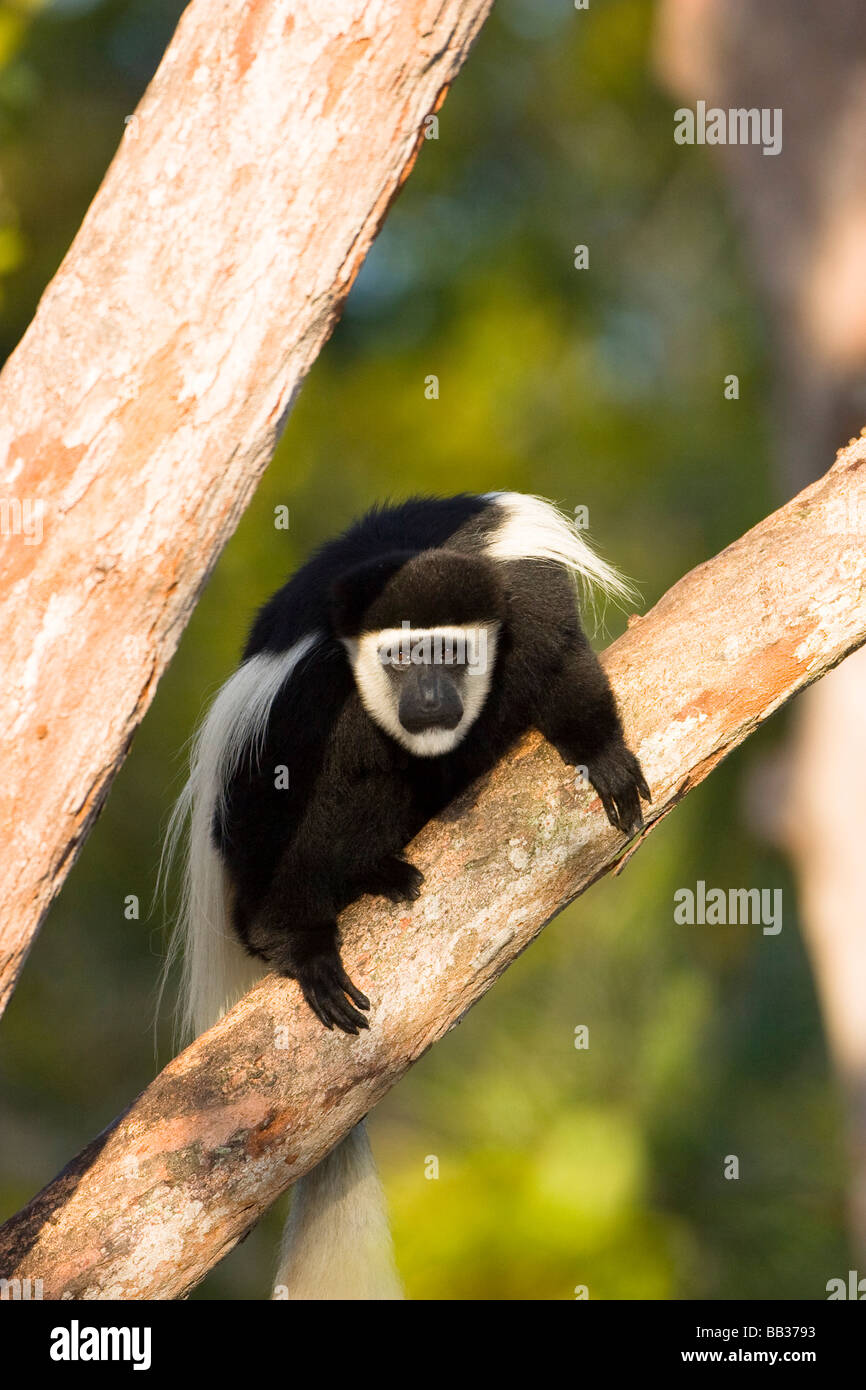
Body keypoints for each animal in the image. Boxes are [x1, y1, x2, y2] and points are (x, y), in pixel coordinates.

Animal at [163, 491, 650, 1298]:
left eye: (448, 656)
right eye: (399, 660)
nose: (428, 699)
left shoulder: (527, 595)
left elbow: (563, 661)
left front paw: (602, 753)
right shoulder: (301, 696)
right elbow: (287, 789)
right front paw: (303, 944)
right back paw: (348, 894)